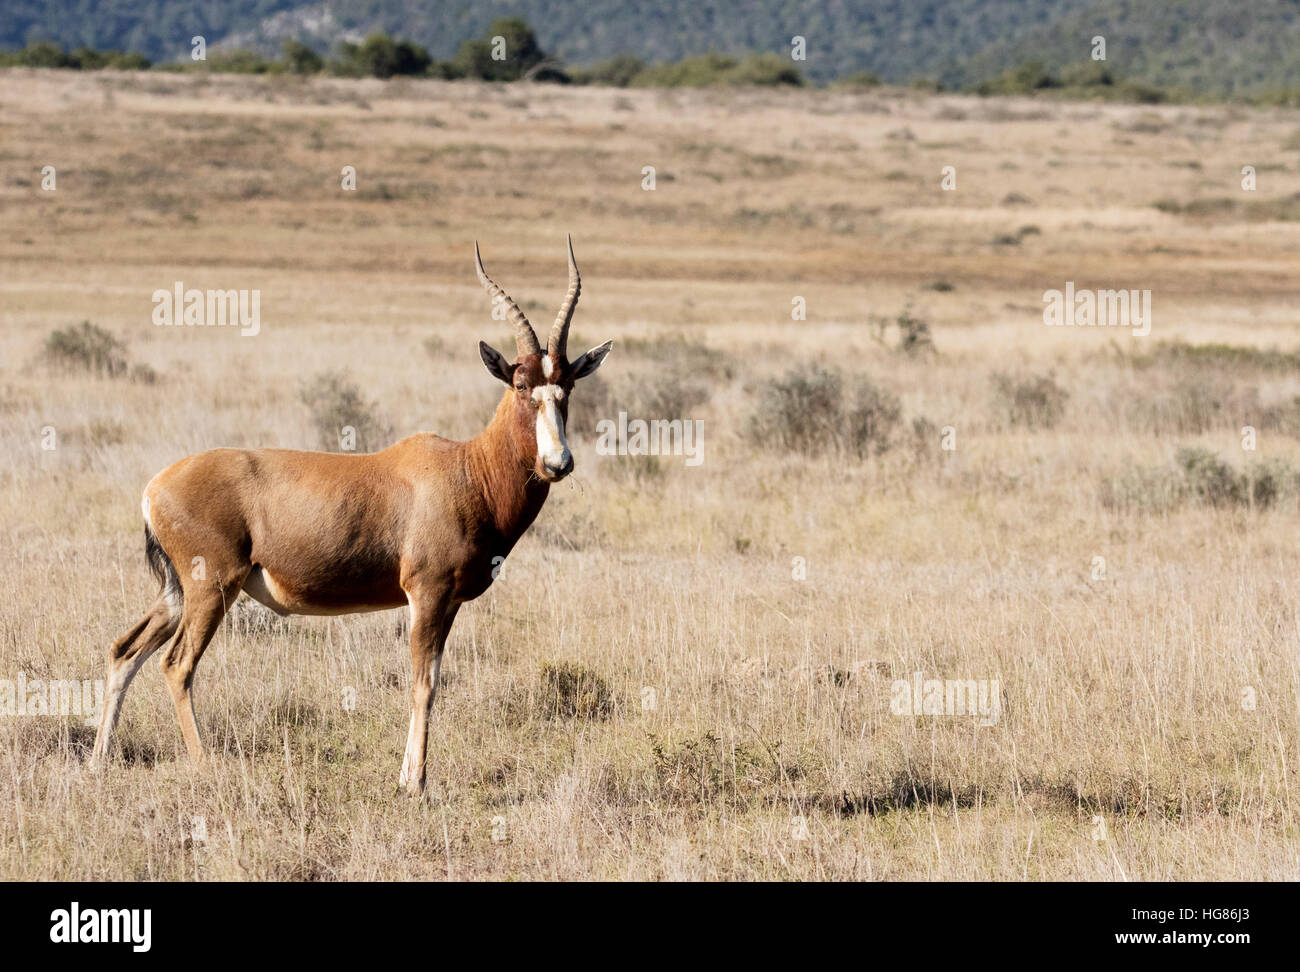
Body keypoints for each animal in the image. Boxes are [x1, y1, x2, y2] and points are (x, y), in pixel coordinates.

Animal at [89, 237, 612, 795]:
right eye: (520, 386)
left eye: (566, 388)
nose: (558, 463)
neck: (464, 468)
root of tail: (154, 488)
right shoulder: (426, 594)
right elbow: (423, 683)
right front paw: (414, 784)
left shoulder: (447, 603)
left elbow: (432, 679)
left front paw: (410, 776)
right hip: (212, 589)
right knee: (176, 664)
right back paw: (206, 765)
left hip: (177, 591)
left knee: (125, 650)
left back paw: (100, 761)